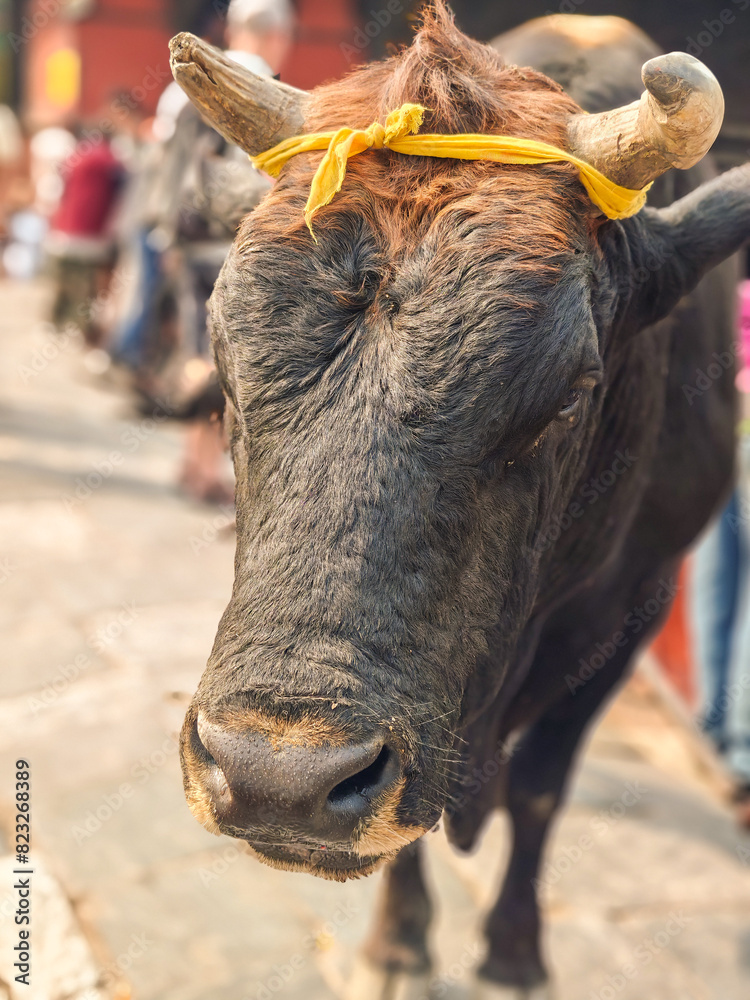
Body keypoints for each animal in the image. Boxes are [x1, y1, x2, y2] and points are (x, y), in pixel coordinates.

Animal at [168, 4, 747, 997]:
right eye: (221, 350)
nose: (278, 776)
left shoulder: (641, 601)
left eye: (571, 393)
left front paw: (514, 953)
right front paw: (400, 947)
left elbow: (544, 788)